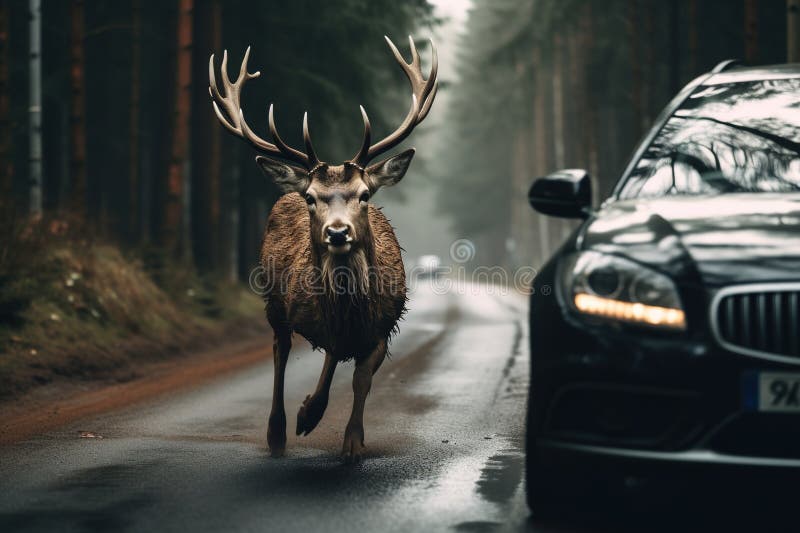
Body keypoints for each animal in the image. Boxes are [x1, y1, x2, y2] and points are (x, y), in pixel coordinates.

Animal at [208, 36, 438, 461]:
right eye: (312, 198)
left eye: (364, 195)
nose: (337, 232)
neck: (350, 311)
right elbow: (321, 362)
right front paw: (306, 417)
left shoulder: (383, 327)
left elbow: (359, 378)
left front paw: (352, 441)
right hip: (273, 302)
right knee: (281, 350)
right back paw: (279, 431)